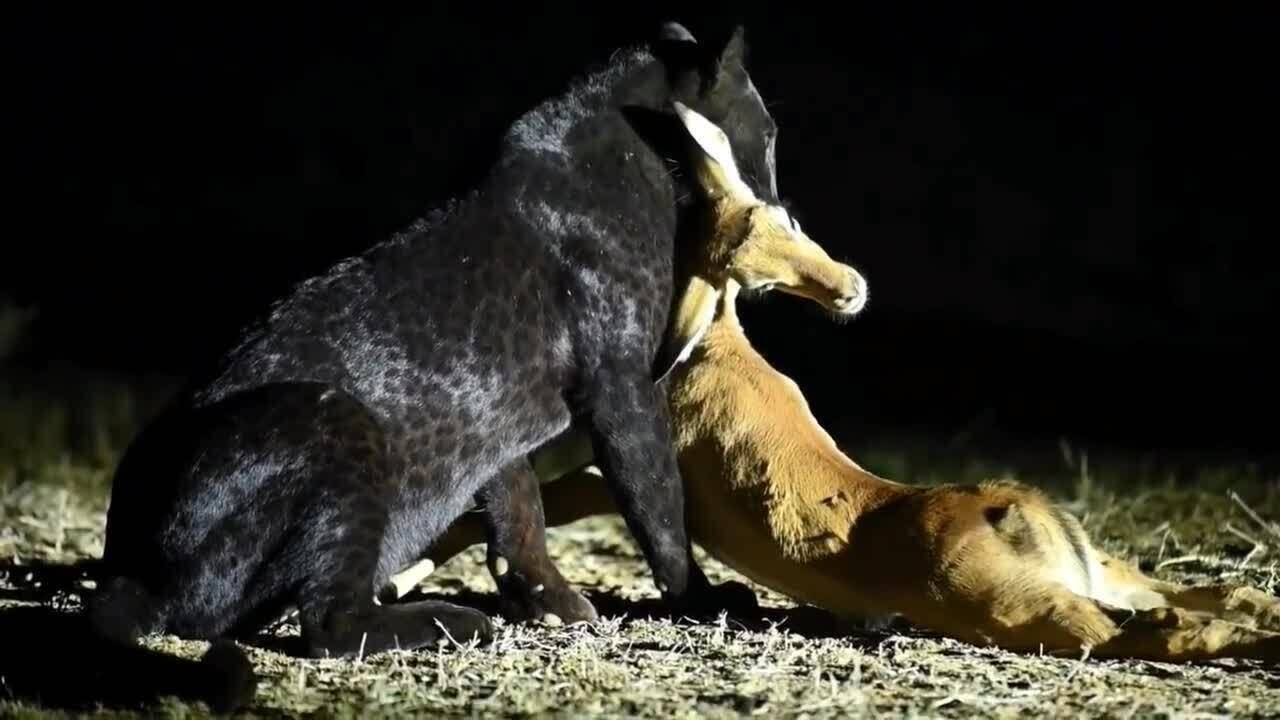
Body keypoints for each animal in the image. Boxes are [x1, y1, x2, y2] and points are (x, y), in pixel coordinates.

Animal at [414, 103, 1280, 664]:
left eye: (789, 219)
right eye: (767, 242)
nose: (850, 287)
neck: (709, 355)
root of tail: (1015, 509)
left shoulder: (609, 469)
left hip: (1038, 610)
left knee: (1170, 629)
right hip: (1105, 577)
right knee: (1206, 598)